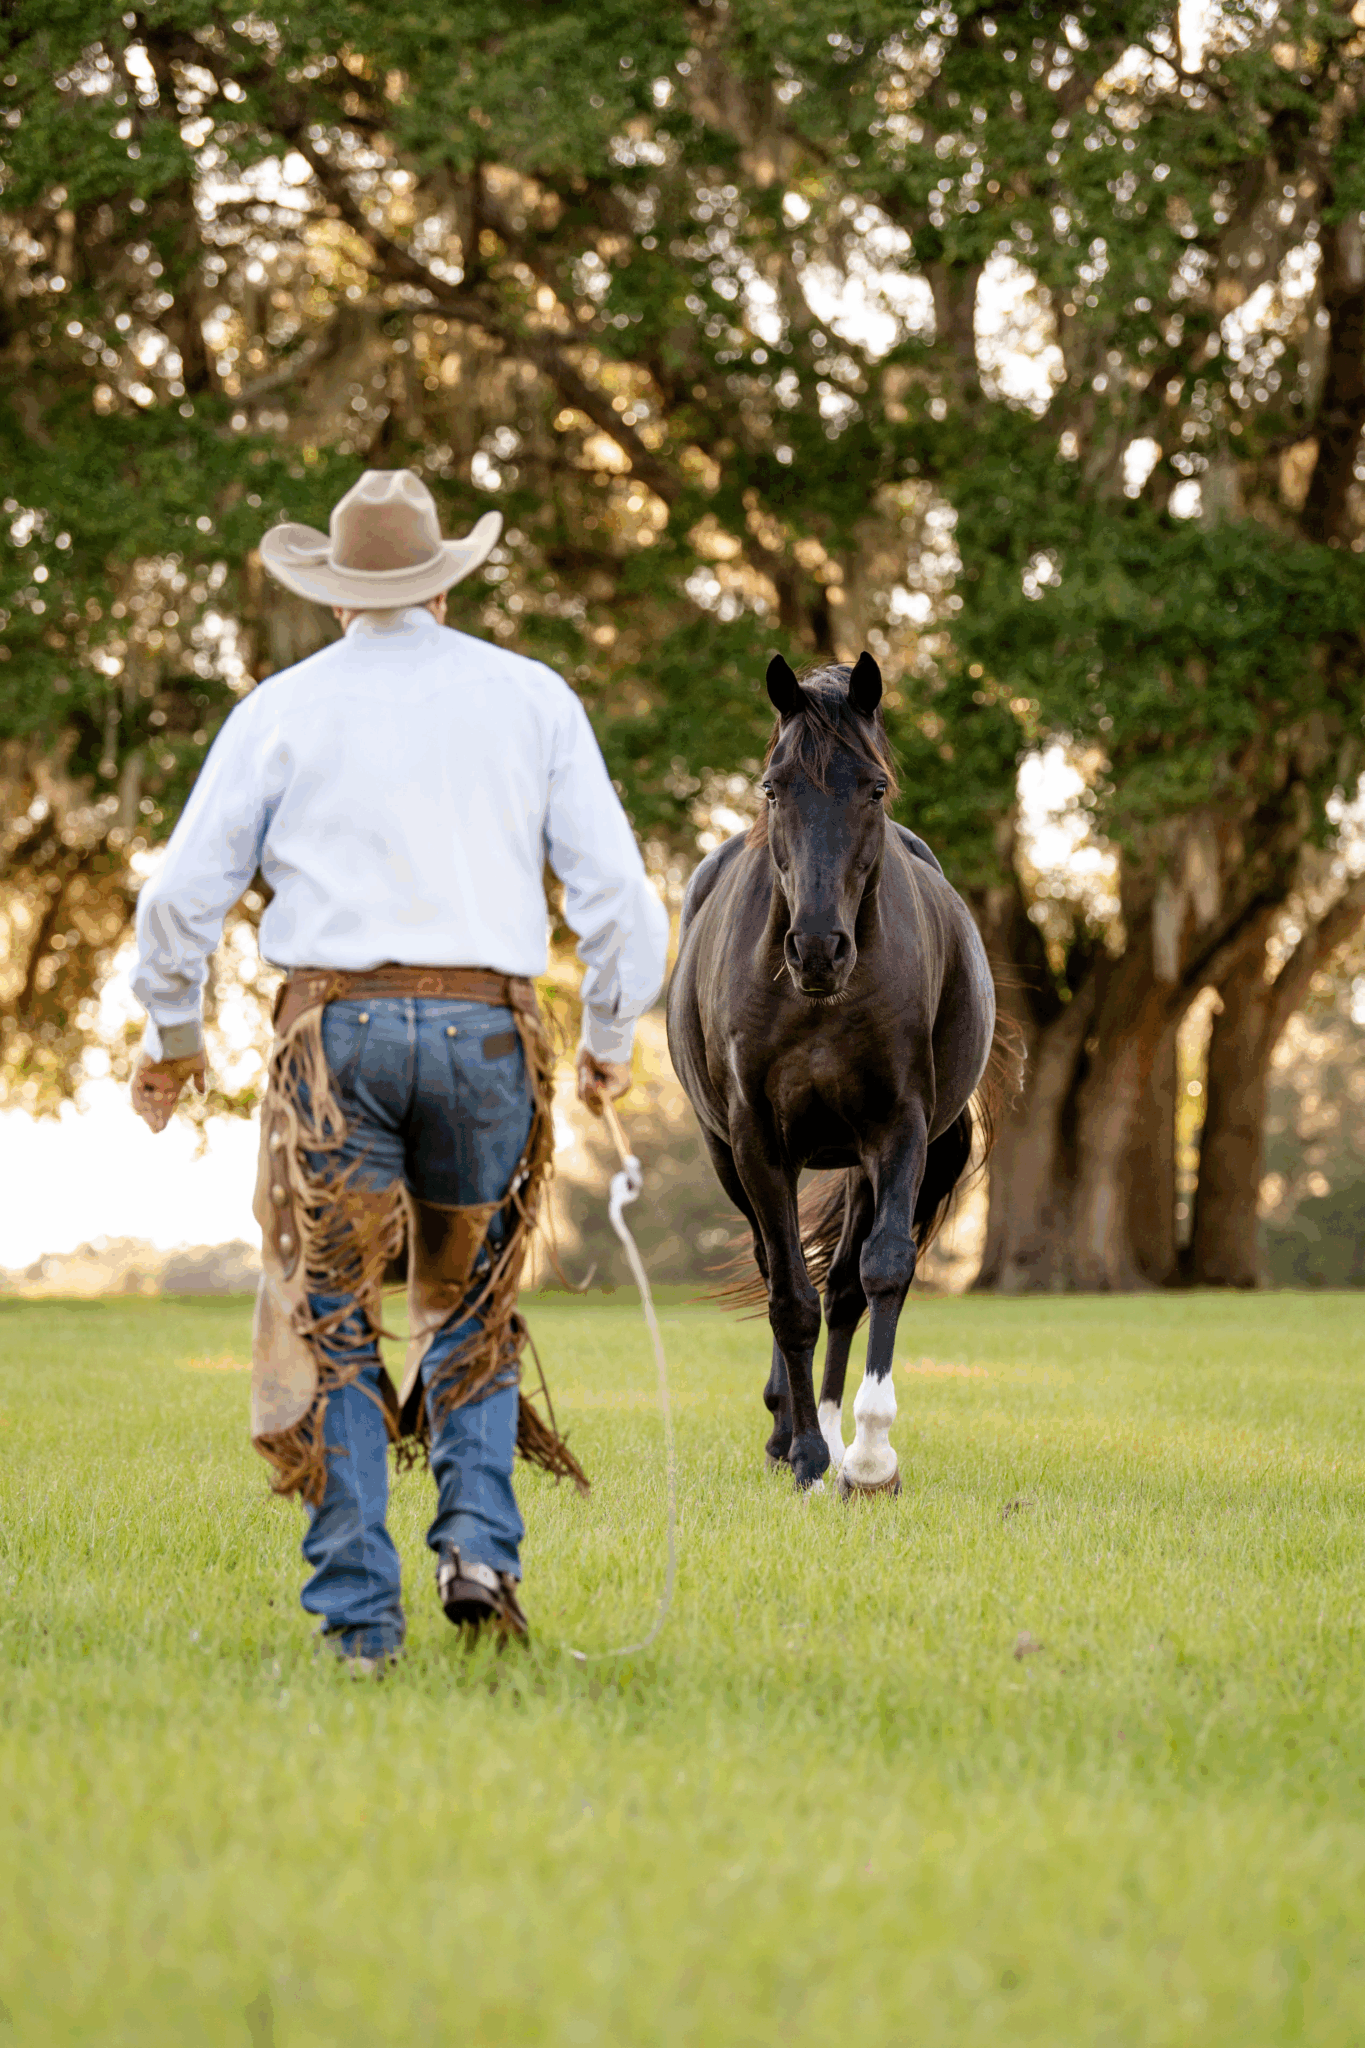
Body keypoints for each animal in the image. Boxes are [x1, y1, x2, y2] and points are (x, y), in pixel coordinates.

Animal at [666, 651, 997, 1495]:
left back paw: (830, 1431)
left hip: (858, 1159)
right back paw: (791, 1430)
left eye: (872, 787)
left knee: (844, 1287)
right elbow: (789, 1296)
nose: (817, 949)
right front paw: (808, 1456)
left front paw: (869, 1455)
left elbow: (878, 1272)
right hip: (732, 1158)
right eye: (772, 786)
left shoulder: (897, 1129)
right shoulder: (757, 1141)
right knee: (778, 1270)